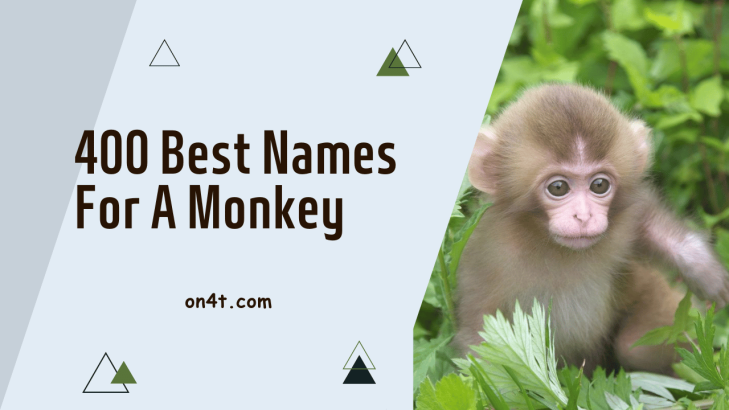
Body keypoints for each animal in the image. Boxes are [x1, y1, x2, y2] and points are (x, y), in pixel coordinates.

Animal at [455, 83, 729, 375]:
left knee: (634, 348)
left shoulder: (623, 225)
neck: (550, 243)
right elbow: (483, 342)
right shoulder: (485, 259)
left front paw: (703, 269)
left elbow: (645, 221)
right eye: (558, 187)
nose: (584, 216)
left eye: (599, 185)